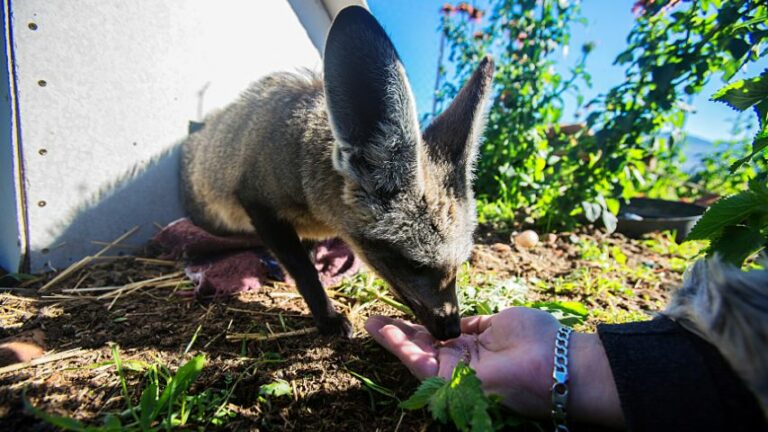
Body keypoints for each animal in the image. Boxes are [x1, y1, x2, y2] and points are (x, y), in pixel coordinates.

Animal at [180, 6, 494, 340]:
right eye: (416, 266)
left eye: (458, 266)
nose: (452, 330)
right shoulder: (256, 201)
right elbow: (303, 271)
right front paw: (327, 315)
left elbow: (307, 258)